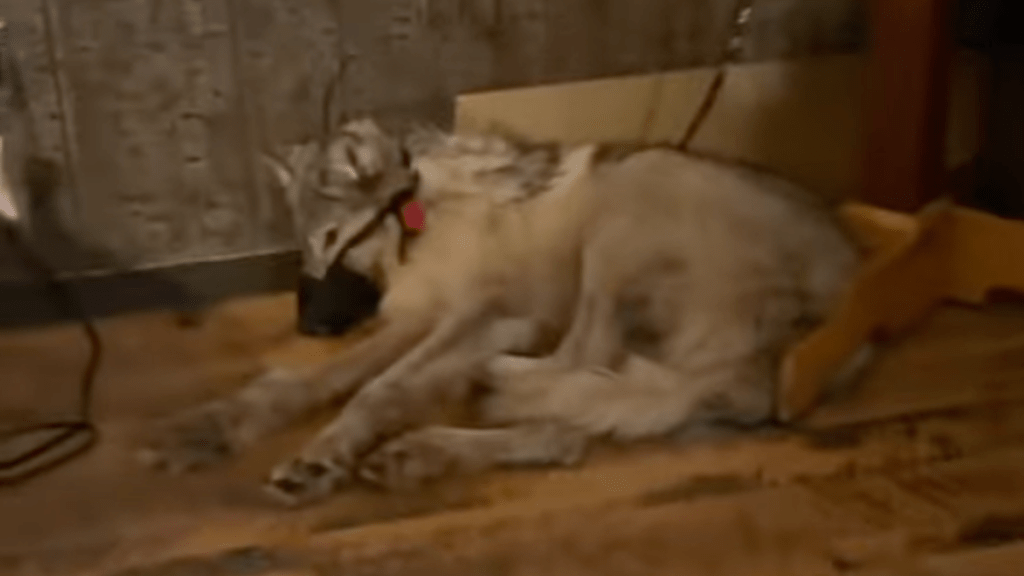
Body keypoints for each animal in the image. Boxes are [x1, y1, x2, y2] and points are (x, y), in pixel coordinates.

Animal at [137, 117, 865, 505]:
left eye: (331, 239)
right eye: (305, 250)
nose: (306, 326)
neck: (421, 218)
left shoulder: (484, 314)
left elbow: (376, 390)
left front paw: (326, 451)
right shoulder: (419, 317)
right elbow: (318, 380)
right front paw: (221, 423)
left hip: (625, 205)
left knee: (572, 379)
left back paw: (452, 423)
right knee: (570, 428)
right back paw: (433, 449)